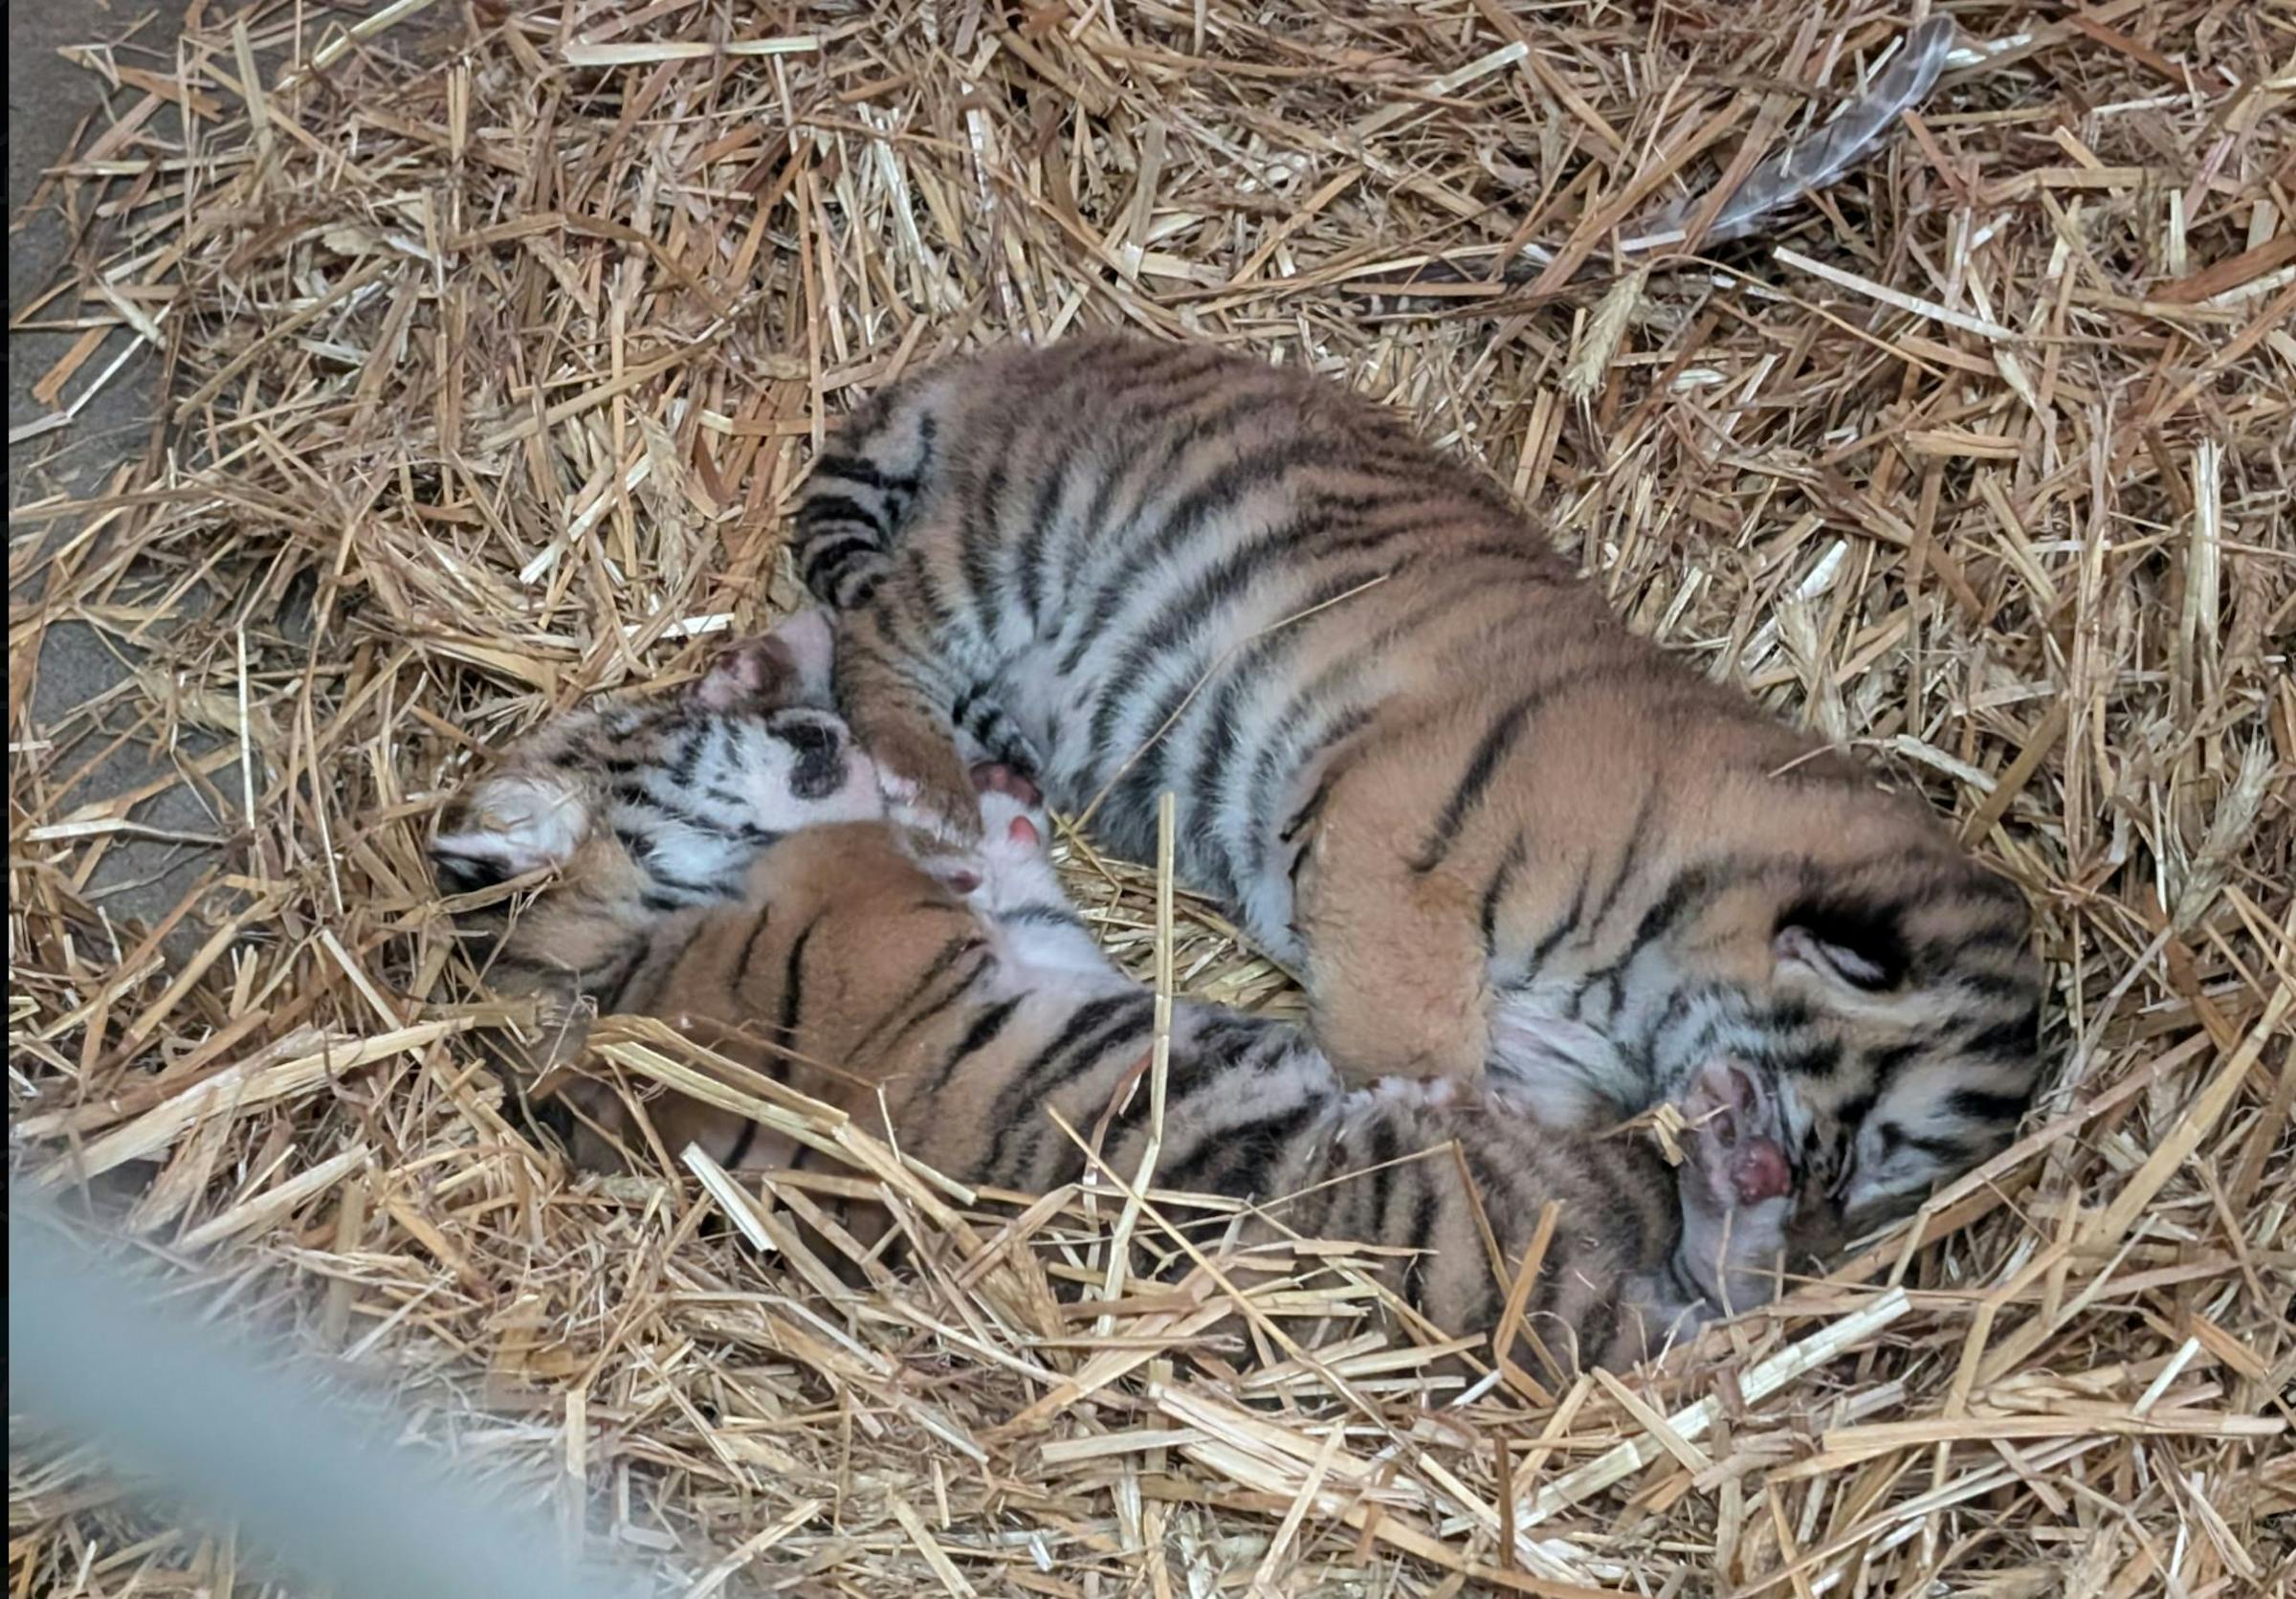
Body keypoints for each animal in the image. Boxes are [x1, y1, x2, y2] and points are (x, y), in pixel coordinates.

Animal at [431, 663, 1795, 1369]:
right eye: (693, 729)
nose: (815, 719)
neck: (628, 940)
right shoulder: (872, 929)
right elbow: (878, 850)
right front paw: (934, 802)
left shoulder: (1011, 942)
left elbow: (1015, 891)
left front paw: (995, 809)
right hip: (1485, 1206)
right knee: (1721, 1294)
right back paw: (1729, 1149)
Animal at [769, 331, 2047, 1259]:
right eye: (1862, 1149)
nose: (1822, 1250)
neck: (1654, 966)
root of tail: (1007, 361)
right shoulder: (1396, 854)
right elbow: (1412, 1036)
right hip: (1009, 549)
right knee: (879, 627)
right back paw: (928, 783)